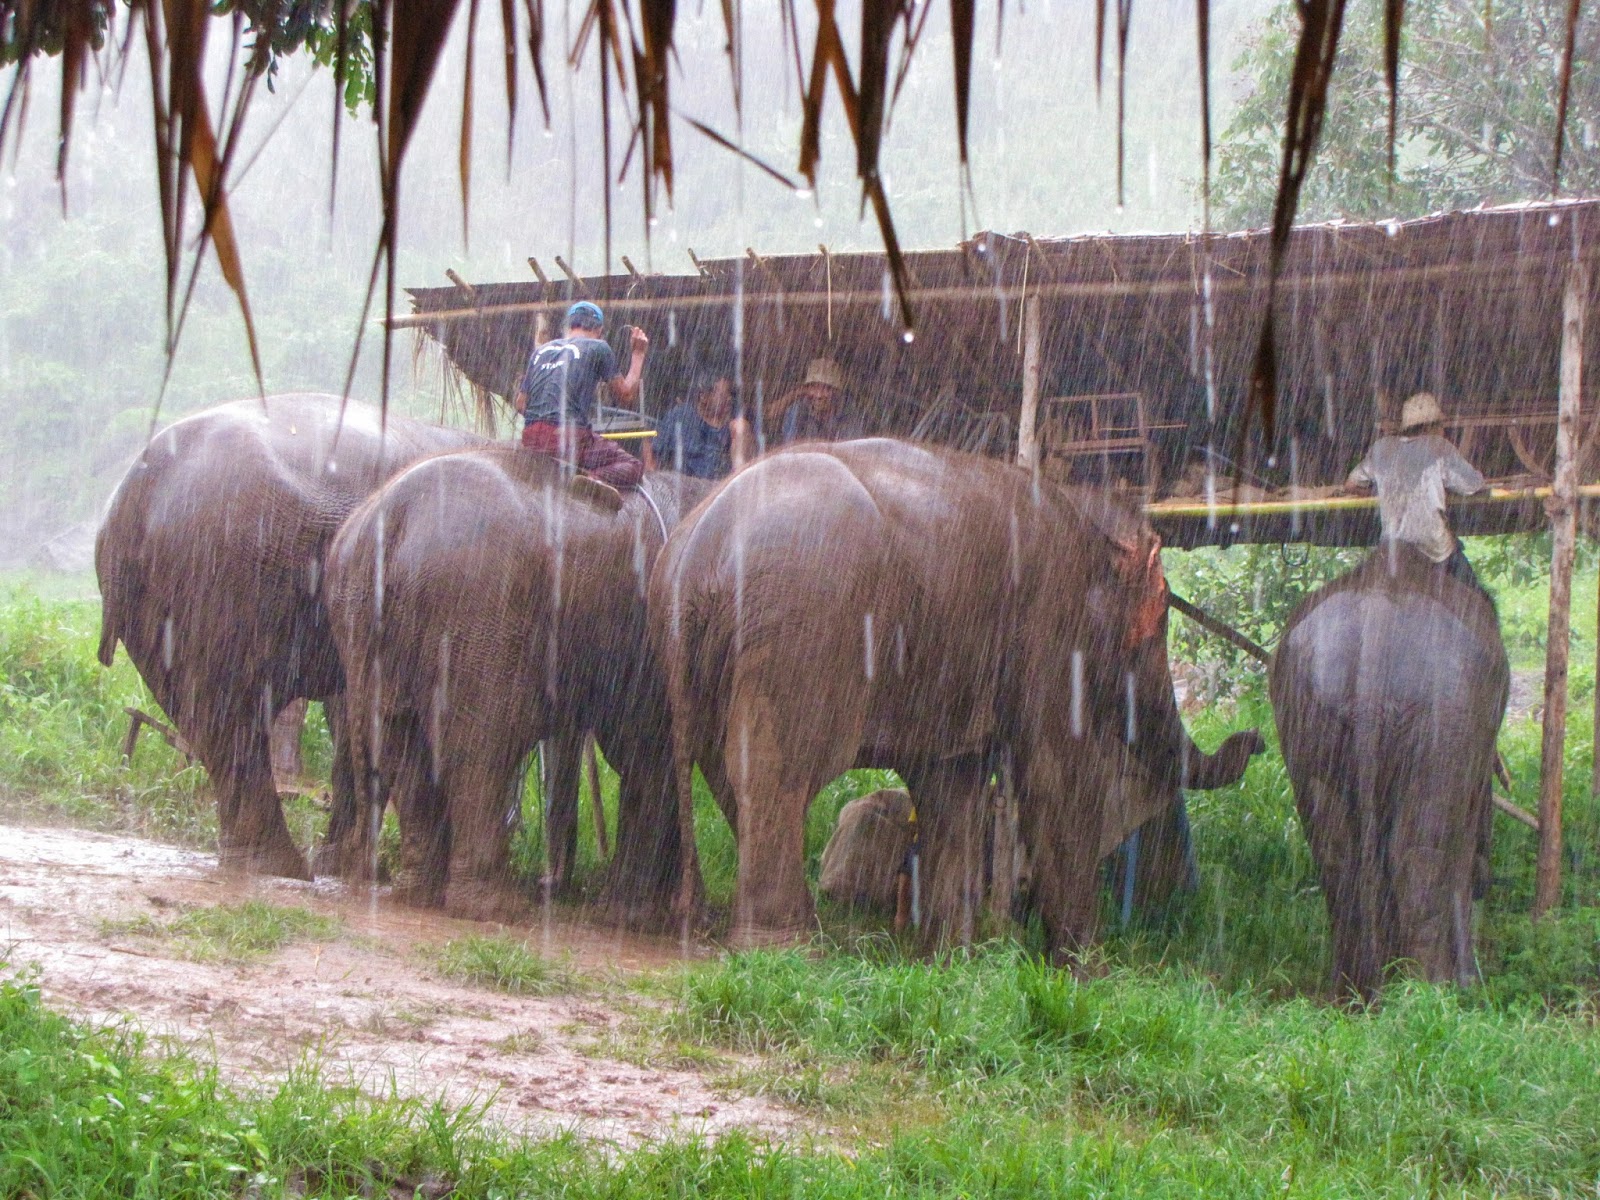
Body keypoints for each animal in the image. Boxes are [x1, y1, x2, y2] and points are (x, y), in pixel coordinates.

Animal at [96, 394, 485, 879]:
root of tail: (132, 494)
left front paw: (343, 864)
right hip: (223, 577)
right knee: (231, 711)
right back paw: (281, 866)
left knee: (205, 715)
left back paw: (266, 862)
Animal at [323, 444, 714, 924]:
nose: (699, 913)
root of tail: (387, 519)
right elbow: (647, 747)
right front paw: (636, 918)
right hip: (479, 611)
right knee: (482, 748)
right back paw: (497, 907)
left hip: (366, 621)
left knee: (403, 742)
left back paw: (420, 893)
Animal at [650, 438, 1264, 954]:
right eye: (1161, 621)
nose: (1256, 738)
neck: (1084, 508)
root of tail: (694, 555)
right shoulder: (1051, 623)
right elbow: (1056, 772)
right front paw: (1085, 970)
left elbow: (952, 780)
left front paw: (949, 956)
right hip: (803, 631)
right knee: (778, 771)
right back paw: (786, 948)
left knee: (727, 771)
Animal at [1270, 543, 1509, 999]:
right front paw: (1468, 985)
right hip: (1442, 716)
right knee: (1418, 851)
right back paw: (1428, 994)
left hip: (1307, 714)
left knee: (1336, 851)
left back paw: (1352, 996)